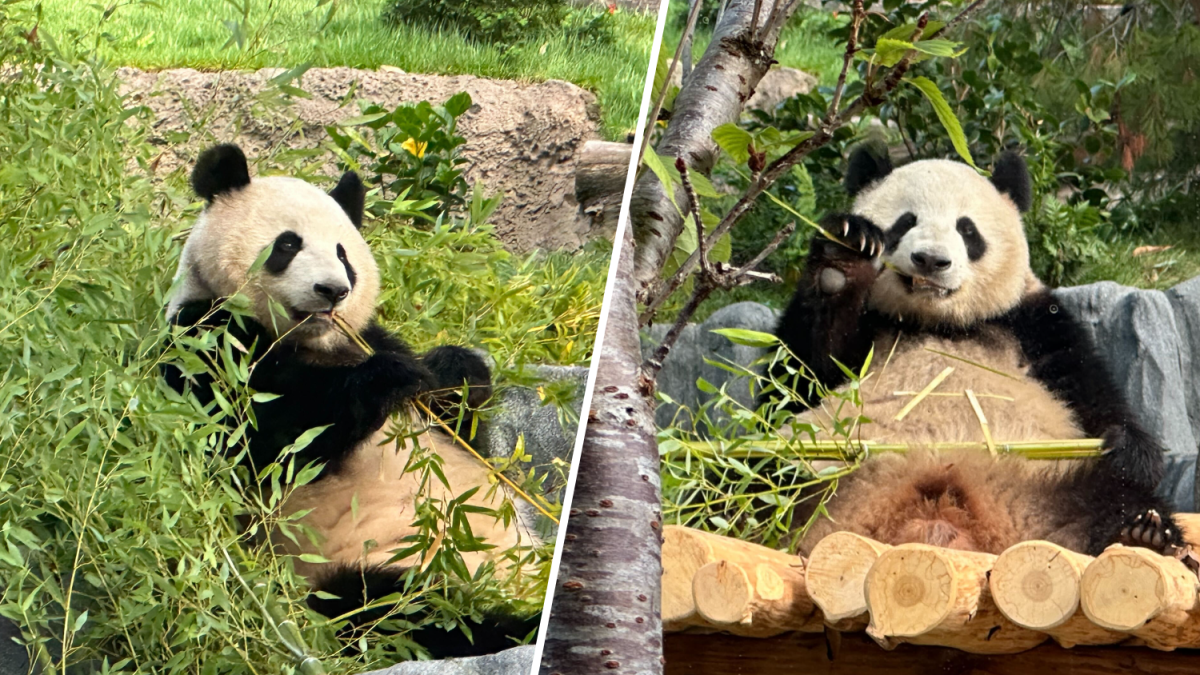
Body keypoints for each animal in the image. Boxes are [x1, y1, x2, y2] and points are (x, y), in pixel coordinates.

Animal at [162, 144, 541, 658]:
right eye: (287, 245)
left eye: (344, 255)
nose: (333, 291)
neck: (313, 344)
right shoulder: (203, 340)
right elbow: (259, 443)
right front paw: (385, 378)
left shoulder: (367, 336)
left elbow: (460, 430)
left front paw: (456, 372)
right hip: (365, 565)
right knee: (401, 611)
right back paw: (511, 626)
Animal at [769, 147, 1188, 560]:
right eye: (905, 222)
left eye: (967, 230)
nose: (931, 260)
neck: (938, 322)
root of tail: (938, 516)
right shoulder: (869, 331)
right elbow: (800, 377)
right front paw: (842, 259)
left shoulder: (1034, 324)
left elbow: (1097, 399)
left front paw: (1124, 448)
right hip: (824, 469)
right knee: (771, 468)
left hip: (1042, 479)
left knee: (1111, 496)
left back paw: (1144, 533)